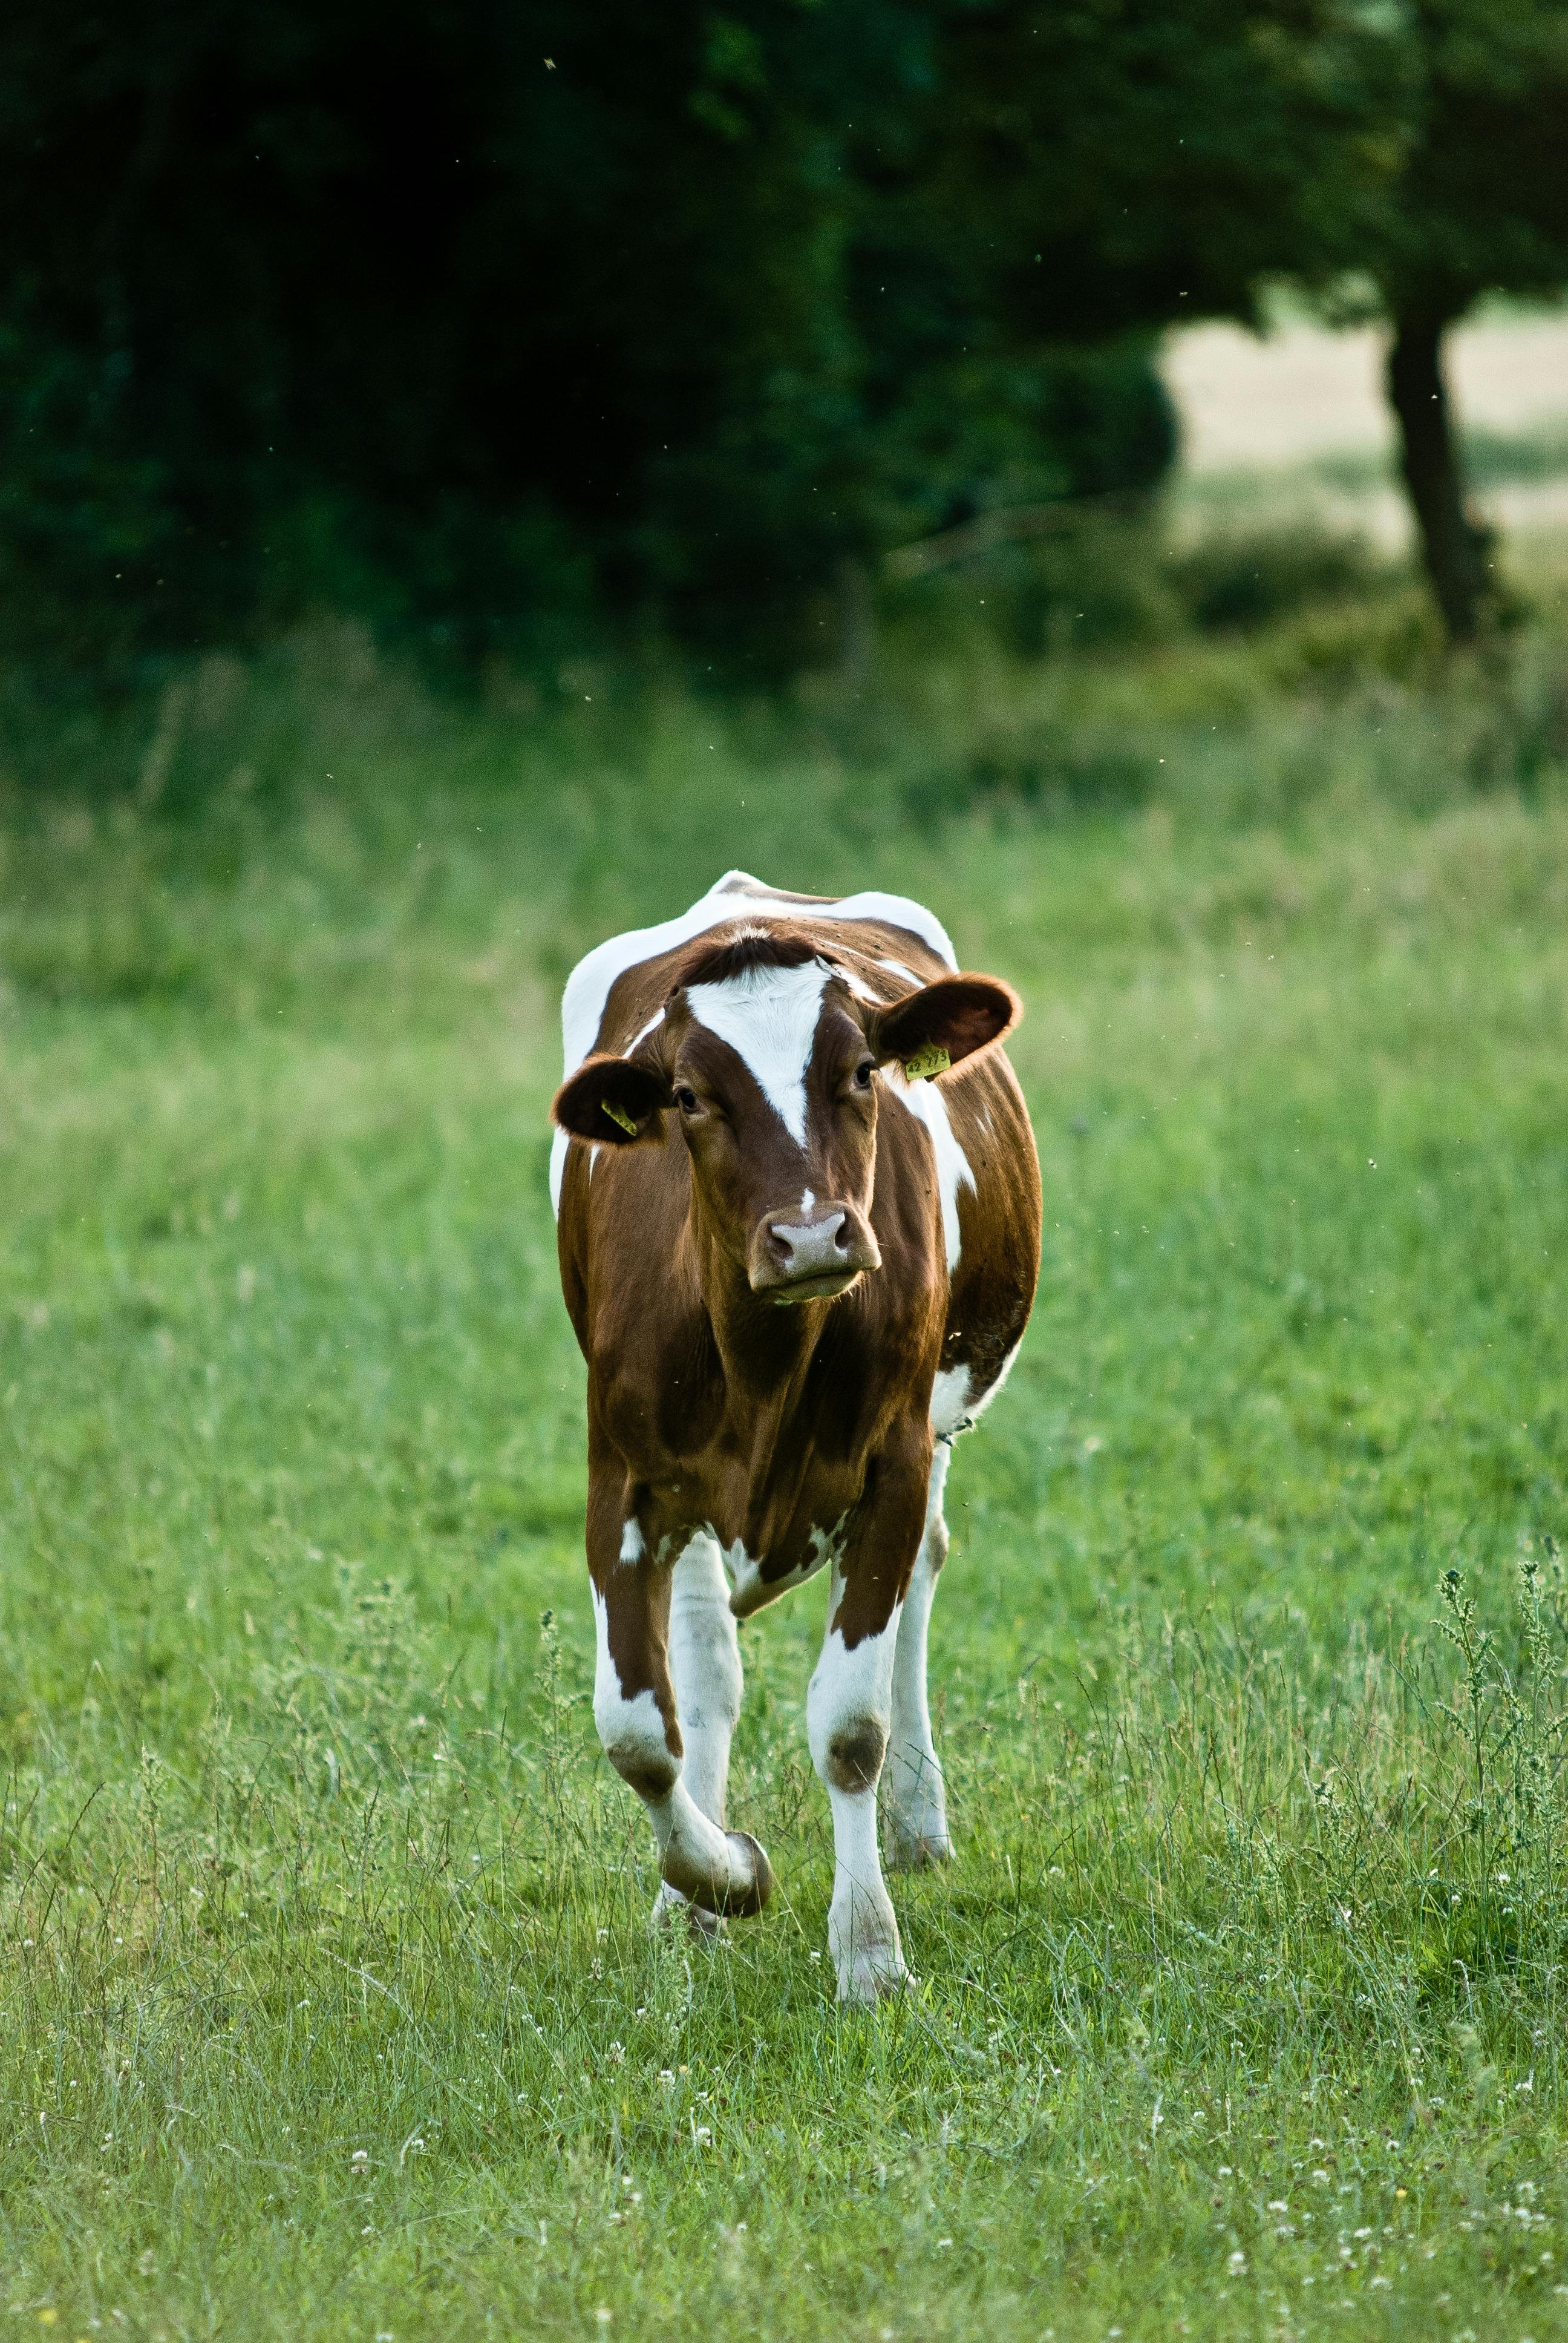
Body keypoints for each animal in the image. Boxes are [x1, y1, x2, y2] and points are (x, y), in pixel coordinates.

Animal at [549, 870, 1041, 2002]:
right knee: (708, 1677)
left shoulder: (892, 1462)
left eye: (861, 1070)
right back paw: (689, 1902)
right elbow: (641, 1733)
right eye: (688, 1097)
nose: (812, 1235)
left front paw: (868, 1951)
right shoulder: (622, 1482)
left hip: (931, 1440)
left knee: (918, 1586)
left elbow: (849, 1726)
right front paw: (718, 1880)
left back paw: (917, 1825)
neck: (764, 1365)